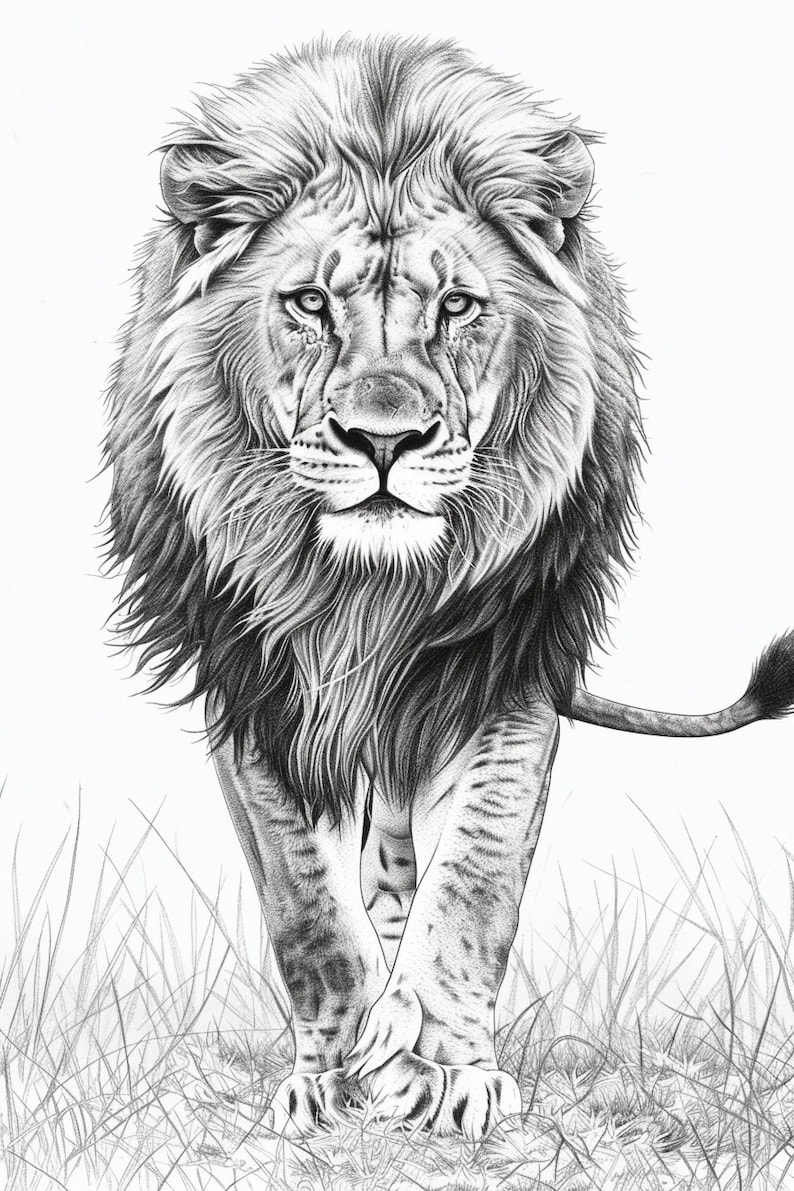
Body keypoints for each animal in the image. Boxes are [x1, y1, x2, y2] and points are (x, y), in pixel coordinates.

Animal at [104, 35, 794, 1139]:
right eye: (309, 304)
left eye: (457, 306)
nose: (383, 441)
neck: (363, 593)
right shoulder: (245, 673)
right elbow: (306, 906)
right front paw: (336, 1074)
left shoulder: (506, 665)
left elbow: (475, 877)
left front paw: (442, 1065)